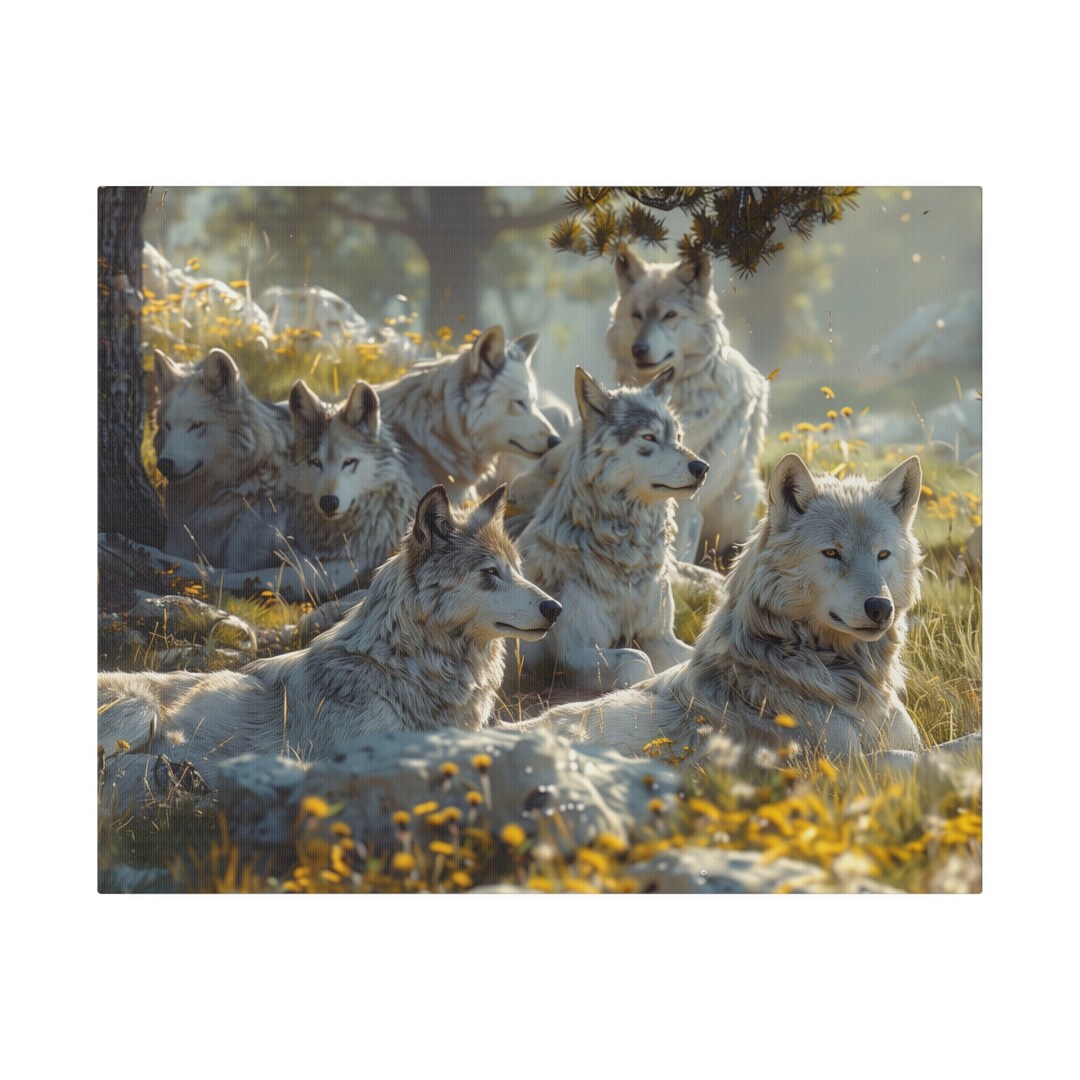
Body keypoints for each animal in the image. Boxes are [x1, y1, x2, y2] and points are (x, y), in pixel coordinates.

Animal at [512, 366, 716, 693]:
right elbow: (636, 661)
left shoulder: (659, 637)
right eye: (649, 437)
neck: (628, 561)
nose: (702, 468)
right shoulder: (570, 653)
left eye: (678, 437)